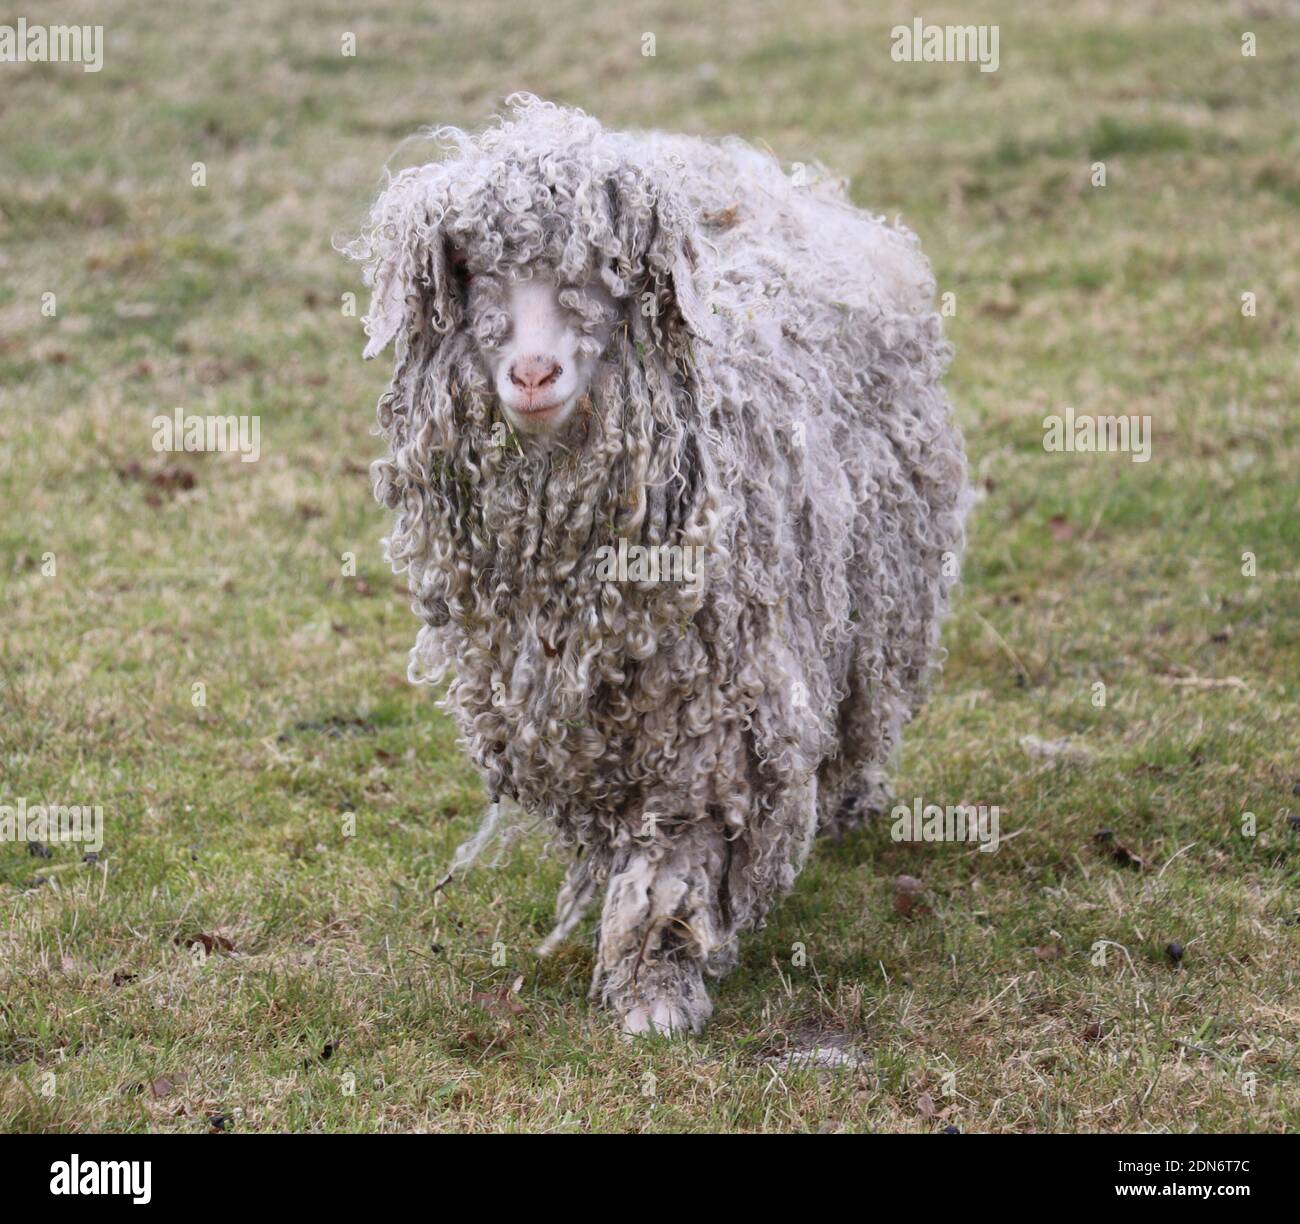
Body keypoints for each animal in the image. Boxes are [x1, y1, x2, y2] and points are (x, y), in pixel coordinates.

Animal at [345, 94, 969, 1035]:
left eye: (601, 272)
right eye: (472, 270)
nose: (534, 372)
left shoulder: (713, 698)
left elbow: (676, 842)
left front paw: (654, 991)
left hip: (881, 581)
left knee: (866, 702)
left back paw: (849, 802)